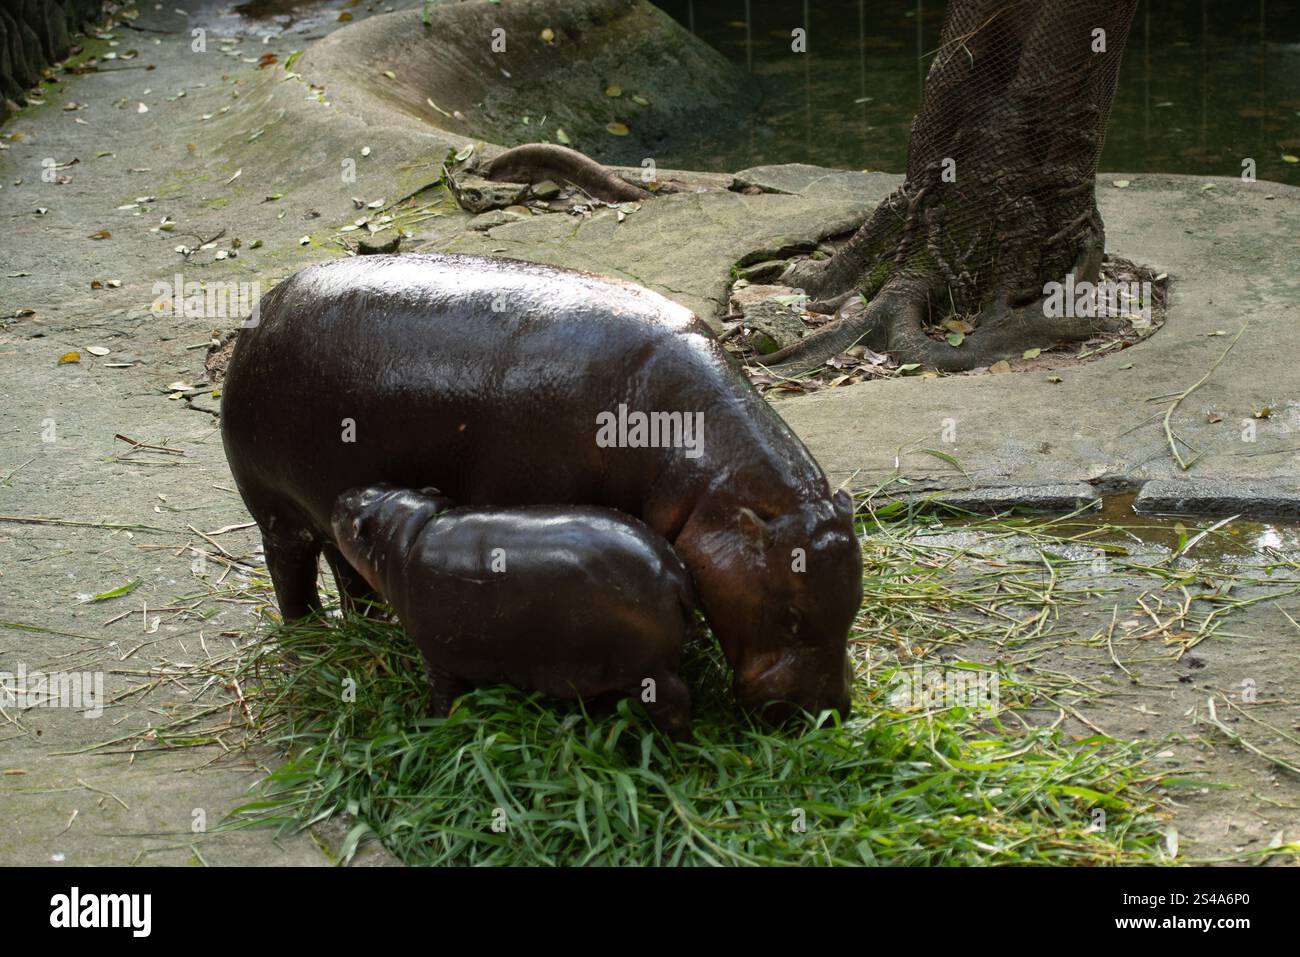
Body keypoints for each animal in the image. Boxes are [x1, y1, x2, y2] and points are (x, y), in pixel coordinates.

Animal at [331, 484, 695, 736]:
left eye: (349, 515)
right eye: (370, 489)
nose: (340, 496)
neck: (400, 536)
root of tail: (674, 574)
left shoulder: (435, 656)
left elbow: (443, 696)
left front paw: (428, 725)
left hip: (651, 672)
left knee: (678, 700)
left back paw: (676, 741)